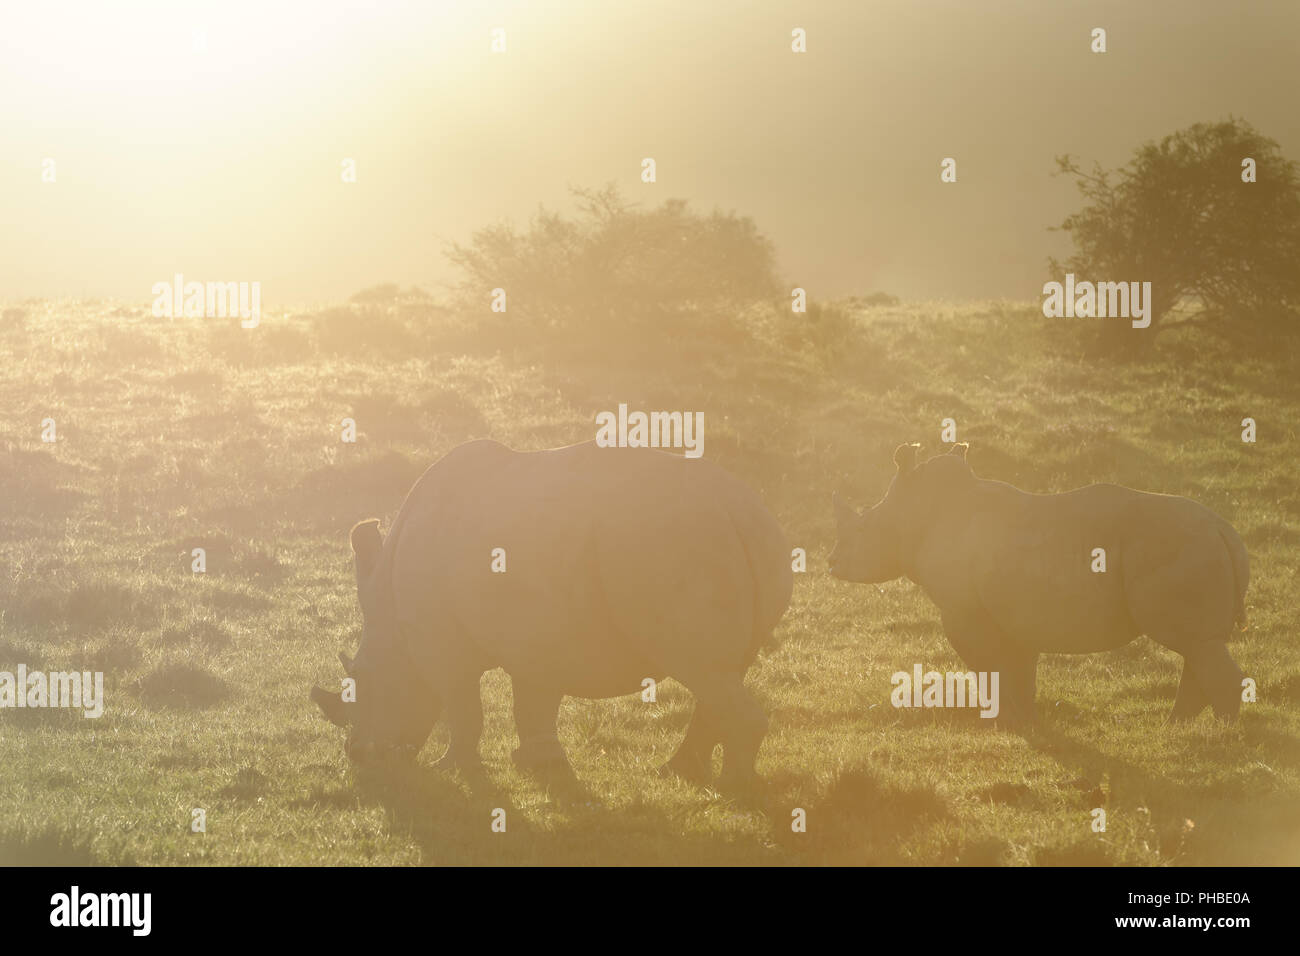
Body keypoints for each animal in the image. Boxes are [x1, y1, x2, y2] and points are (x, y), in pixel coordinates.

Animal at [311, 438, 792, 789]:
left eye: (360, 684)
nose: (358, 756)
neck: (390, 624)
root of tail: (737, 510)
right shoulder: (538, 634)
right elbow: (533, 702)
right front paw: (539, 762)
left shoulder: (441, 646)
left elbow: (463, 706)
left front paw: (450, 768)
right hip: (734, 539)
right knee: (720, 673)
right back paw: (678, 772)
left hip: (675, 543)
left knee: (701, 669)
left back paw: (735, 787)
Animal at [829, 443, 1249, 726]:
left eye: (864, 529)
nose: (832, 563)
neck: (916, 510)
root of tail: (1223, 529)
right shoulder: (1014, 610)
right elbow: (1018, 668)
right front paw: (1027, 721)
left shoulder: (963, 609)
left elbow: (987, 665)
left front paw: (1006, 723)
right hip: (1193, 544)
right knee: (1200, 645)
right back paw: (1176, 728)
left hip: (1178, 545)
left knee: (1195, 643)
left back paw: (1219, 735)